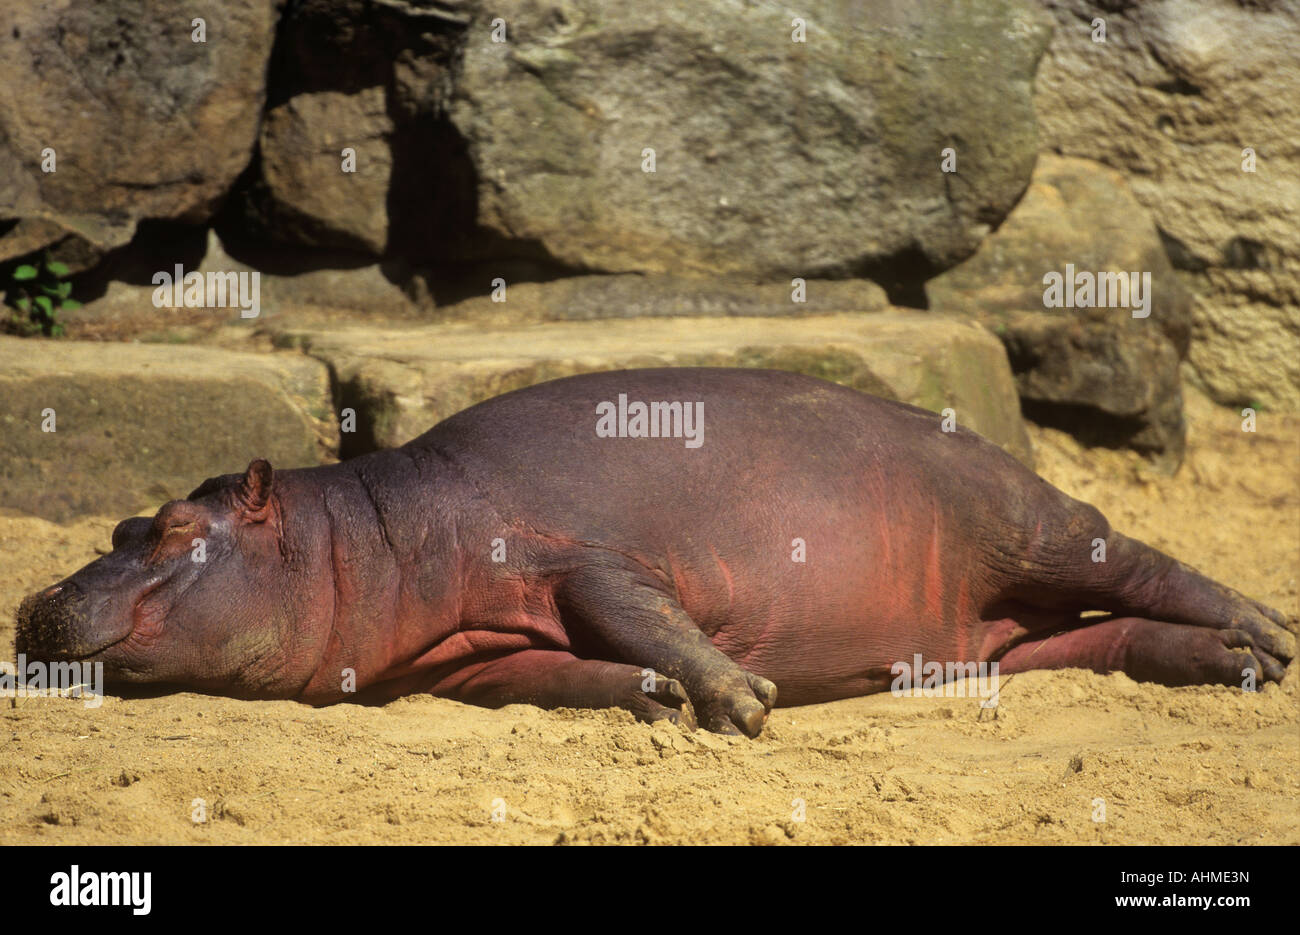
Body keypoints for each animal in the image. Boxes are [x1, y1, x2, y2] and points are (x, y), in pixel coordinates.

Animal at [15, 368, 1294, 736]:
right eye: (118, 526)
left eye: (177, 528)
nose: (30, 603)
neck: (367, 529)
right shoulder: (473, 660)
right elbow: (570, 672)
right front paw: (664, 703)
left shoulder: (581, 554)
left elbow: (638, 611)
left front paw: (741, 700)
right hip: (989, 634)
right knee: (1096, 638)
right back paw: (1232, 663)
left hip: (1029, 525)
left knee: (1143, 562)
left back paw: (1264, 634)